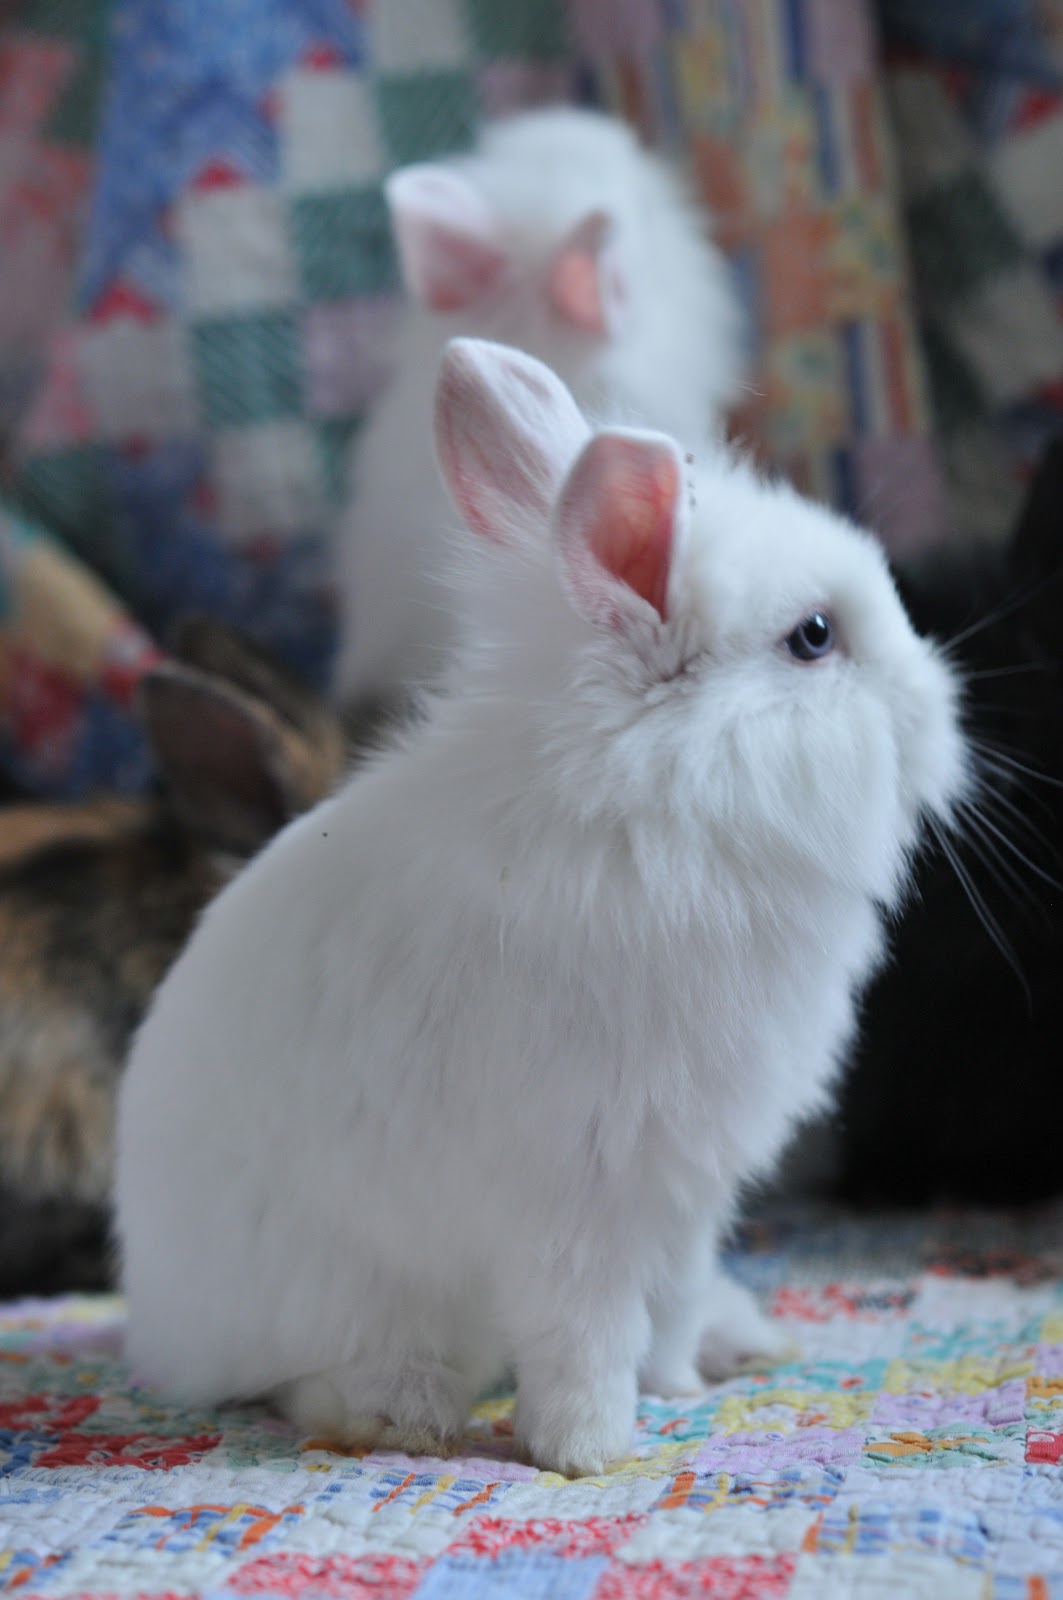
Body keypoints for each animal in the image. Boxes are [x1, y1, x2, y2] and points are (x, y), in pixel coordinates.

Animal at [115, 337, 966, 1479]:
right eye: (813, 636)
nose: (939, 714)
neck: (654, 805)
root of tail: (162, 1324)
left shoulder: (684, 1190)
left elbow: (669, 1303)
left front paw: (677, 1386)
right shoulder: (578, 1192)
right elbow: (586, 1332)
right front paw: (590, 1450)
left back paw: (737, 1341)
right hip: (339, 1292)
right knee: (296, 1381)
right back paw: (402, 1408)